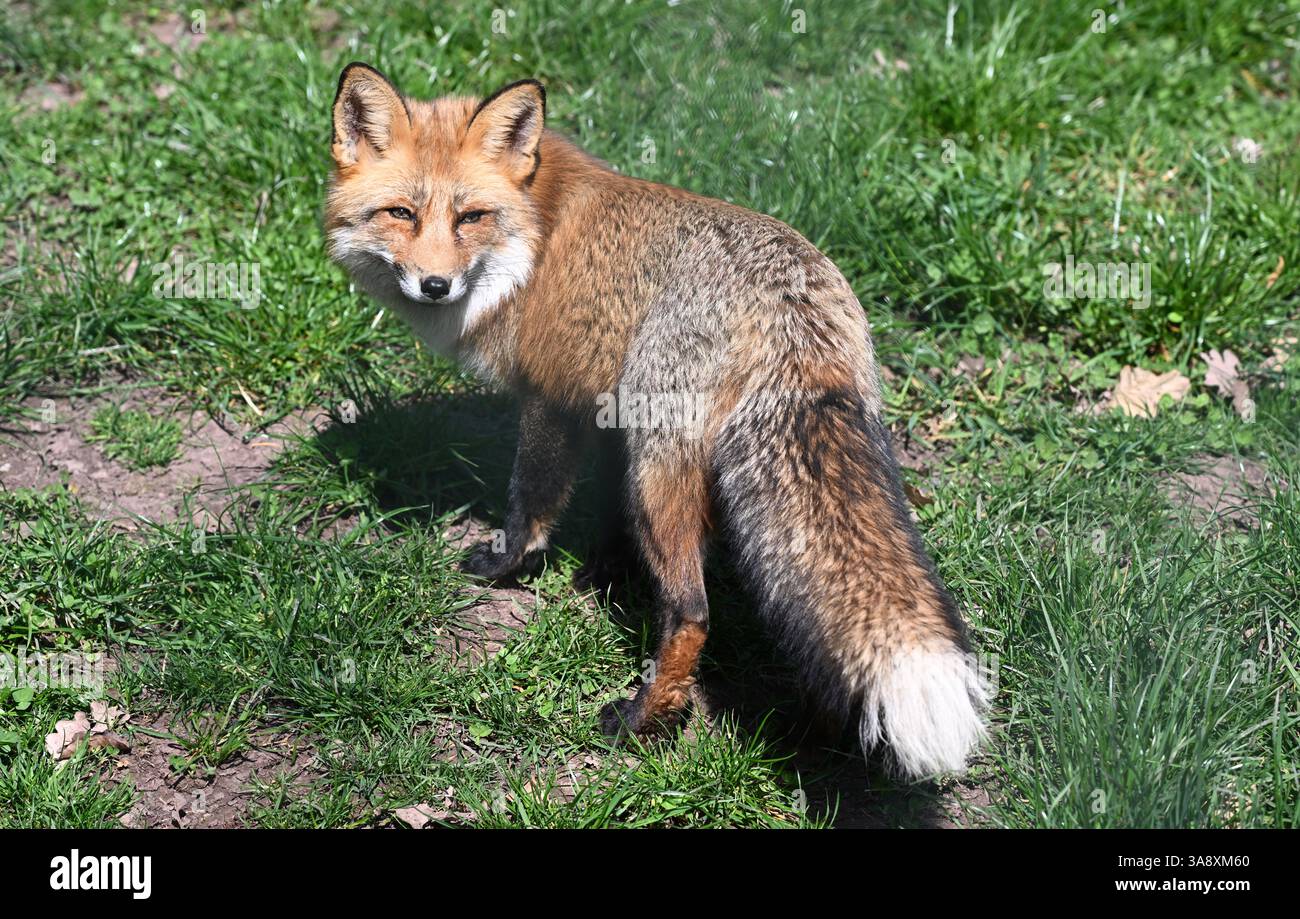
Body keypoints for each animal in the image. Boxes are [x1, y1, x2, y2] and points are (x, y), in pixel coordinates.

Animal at [325, 63, 987, 779]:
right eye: (401, 213)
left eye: (470, 217)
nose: (435, 285)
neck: (534, 237)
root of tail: (793, 295)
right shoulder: (604, 408)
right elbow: (603, 513)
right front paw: (604, 571)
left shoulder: (551, 398)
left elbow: (529, 500)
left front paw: (507, 566)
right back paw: (818, 740)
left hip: (657, 469)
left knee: (692, 611)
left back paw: (645, 719)